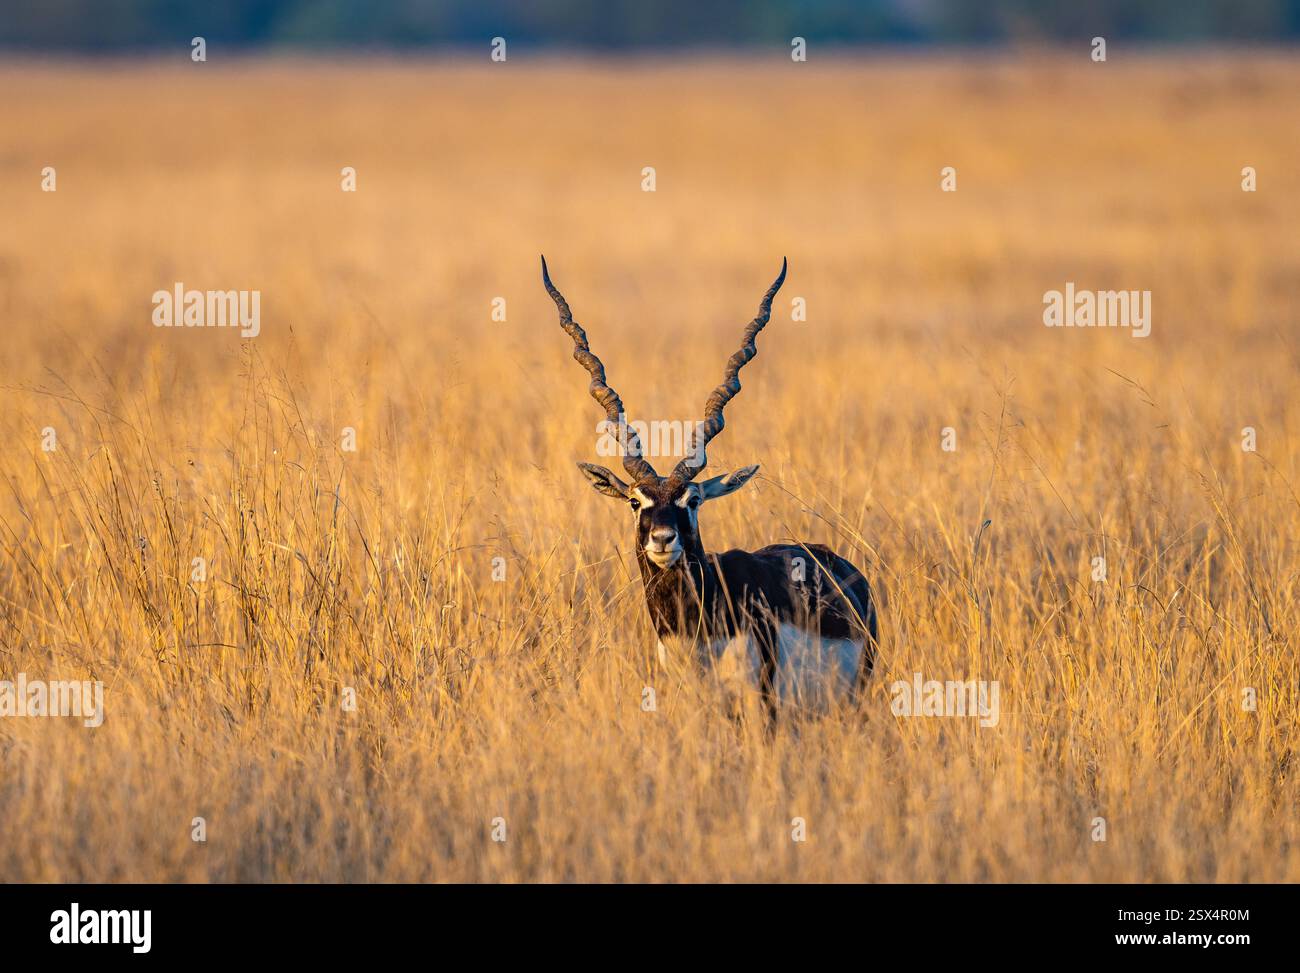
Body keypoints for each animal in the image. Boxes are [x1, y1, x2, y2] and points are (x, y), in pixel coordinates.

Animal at [542, 256, 878, 721]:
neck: (696, 635)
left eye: (694, 500)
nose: (663, 539)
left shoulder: (759, 703)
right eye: (634, 502)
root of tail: (842, 566)